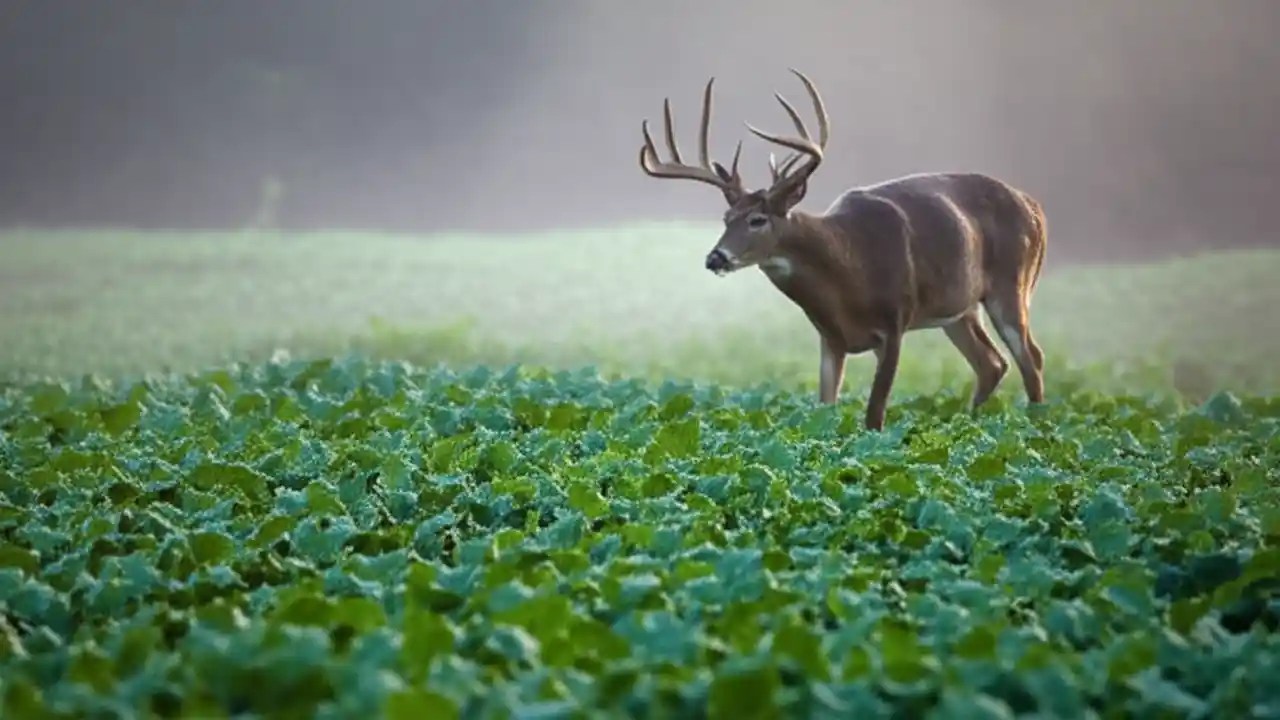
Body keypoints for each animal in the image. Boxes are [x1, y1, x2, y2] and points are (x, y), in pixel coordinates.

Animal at [638, 69, 1048, 431]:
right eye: (726, 217)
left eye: (757, 219)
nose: (715, 258)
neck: (849, 271)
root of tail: (1034, 206)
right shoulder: (829, 338)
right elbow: (825, 408)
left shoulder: (895, 321)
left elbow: (874, 416)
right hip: (960, 309)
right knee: (992, 364)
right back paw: (970, 425)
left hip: (1011, 285)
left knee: (1031, 359)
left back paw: (1037, 430)